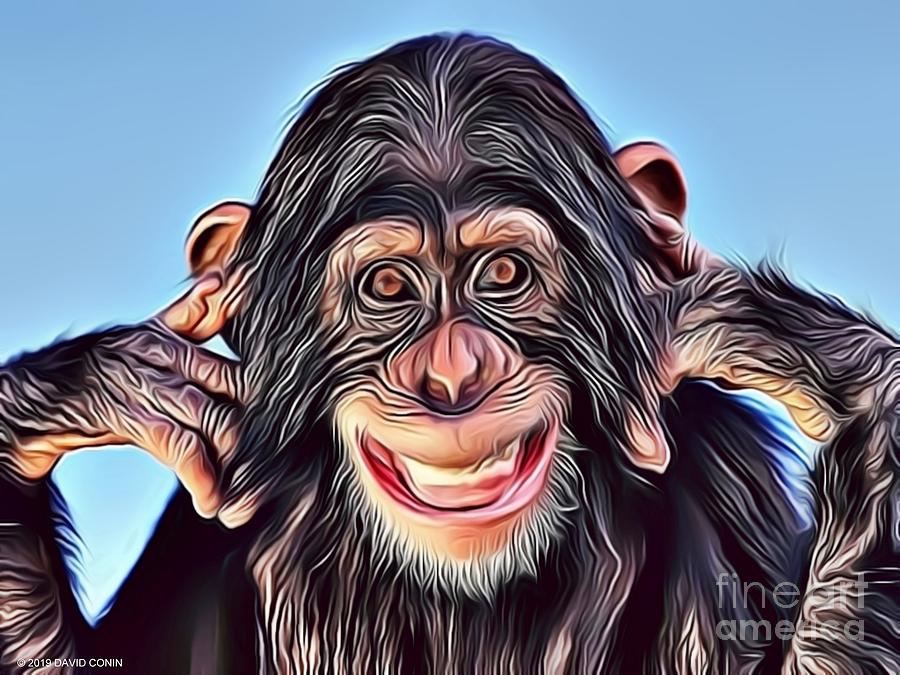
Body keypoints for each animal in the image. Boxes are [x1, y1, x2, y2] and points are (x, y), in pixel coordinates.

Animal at [0, 33, 897, 675]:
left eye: (502, 273)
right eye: (389, 286)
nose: (454, 372)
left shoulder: (726, 476)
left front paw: (760, 330)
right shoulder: (200, 526)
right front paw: (112, 384)